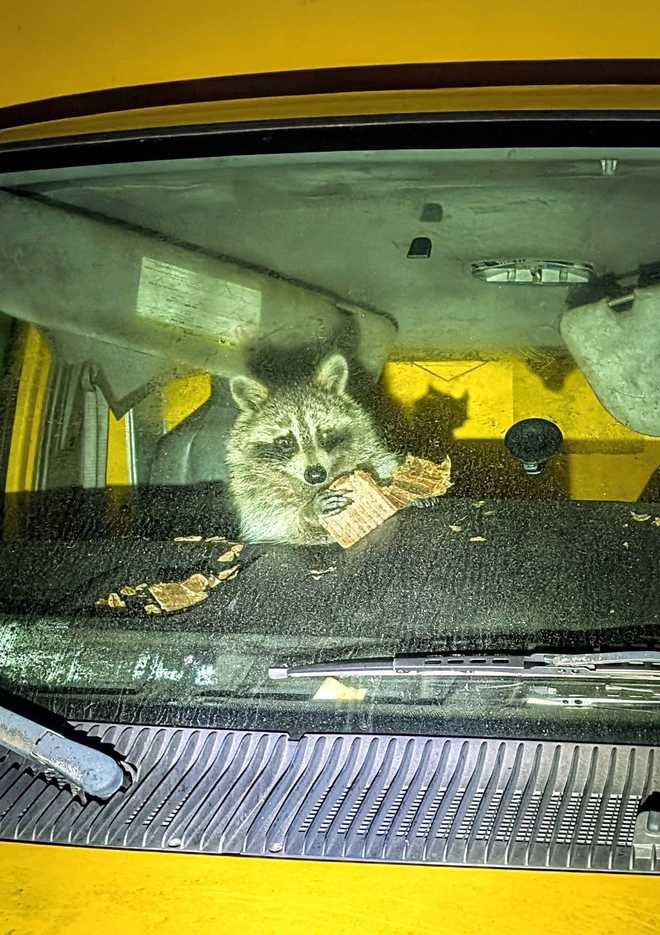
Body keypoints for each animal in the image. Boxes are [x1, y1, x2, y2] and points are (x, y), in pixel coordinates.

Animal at [226, 353, 400, 545]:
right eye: (286, 442)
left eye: (323, 434)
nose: (316, 475)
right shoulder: (256, 493)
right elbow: (277, 524)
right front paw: (308, 511)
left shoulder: (368, 448)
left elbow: (381, 463)